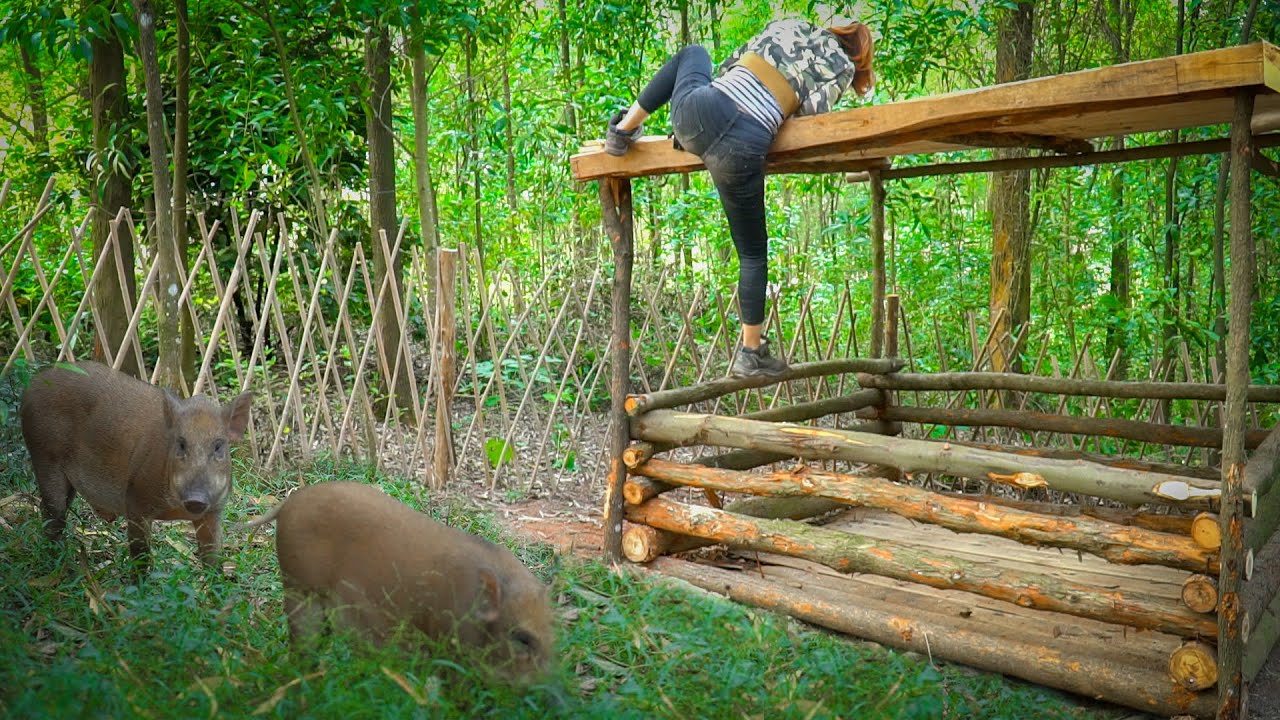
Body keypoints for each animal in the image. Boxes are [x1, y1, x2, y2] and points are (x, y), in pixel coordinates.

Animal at [20, 360, 253, 571]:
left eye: (218, 446)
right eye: (181, 444)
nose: (196, 498)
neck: (175, 510)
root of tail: (34, 383)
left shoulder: (214, 511)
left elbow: (212, 558)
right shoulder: (134, 501)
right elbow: (141, 555)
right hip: (44, 456)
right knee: (53, 516)